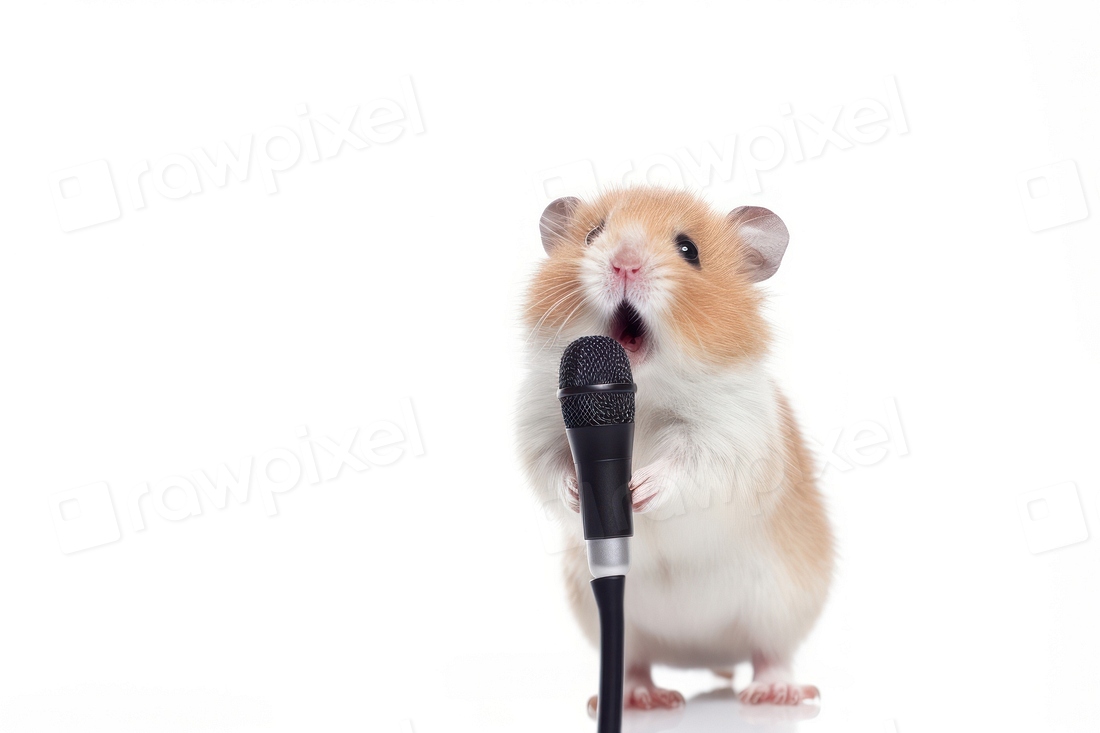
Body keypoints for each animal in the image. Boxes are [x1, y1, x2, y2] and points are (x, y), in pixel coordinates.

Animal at [516, 186, 834, 709]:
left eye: (689, 250)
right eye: (593, 234)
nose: (624, 263)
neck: (643, 395)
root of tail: (702, 655)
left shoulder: (729, 436)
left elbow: (689, 467)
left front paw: (640, 490)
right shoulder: (539, 423)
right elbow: (552, 467)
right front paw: (579, 492)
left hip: (782, 604)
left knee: (771, 652)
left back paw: (773, 693)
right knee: (634, 660)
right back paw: (638, 698)